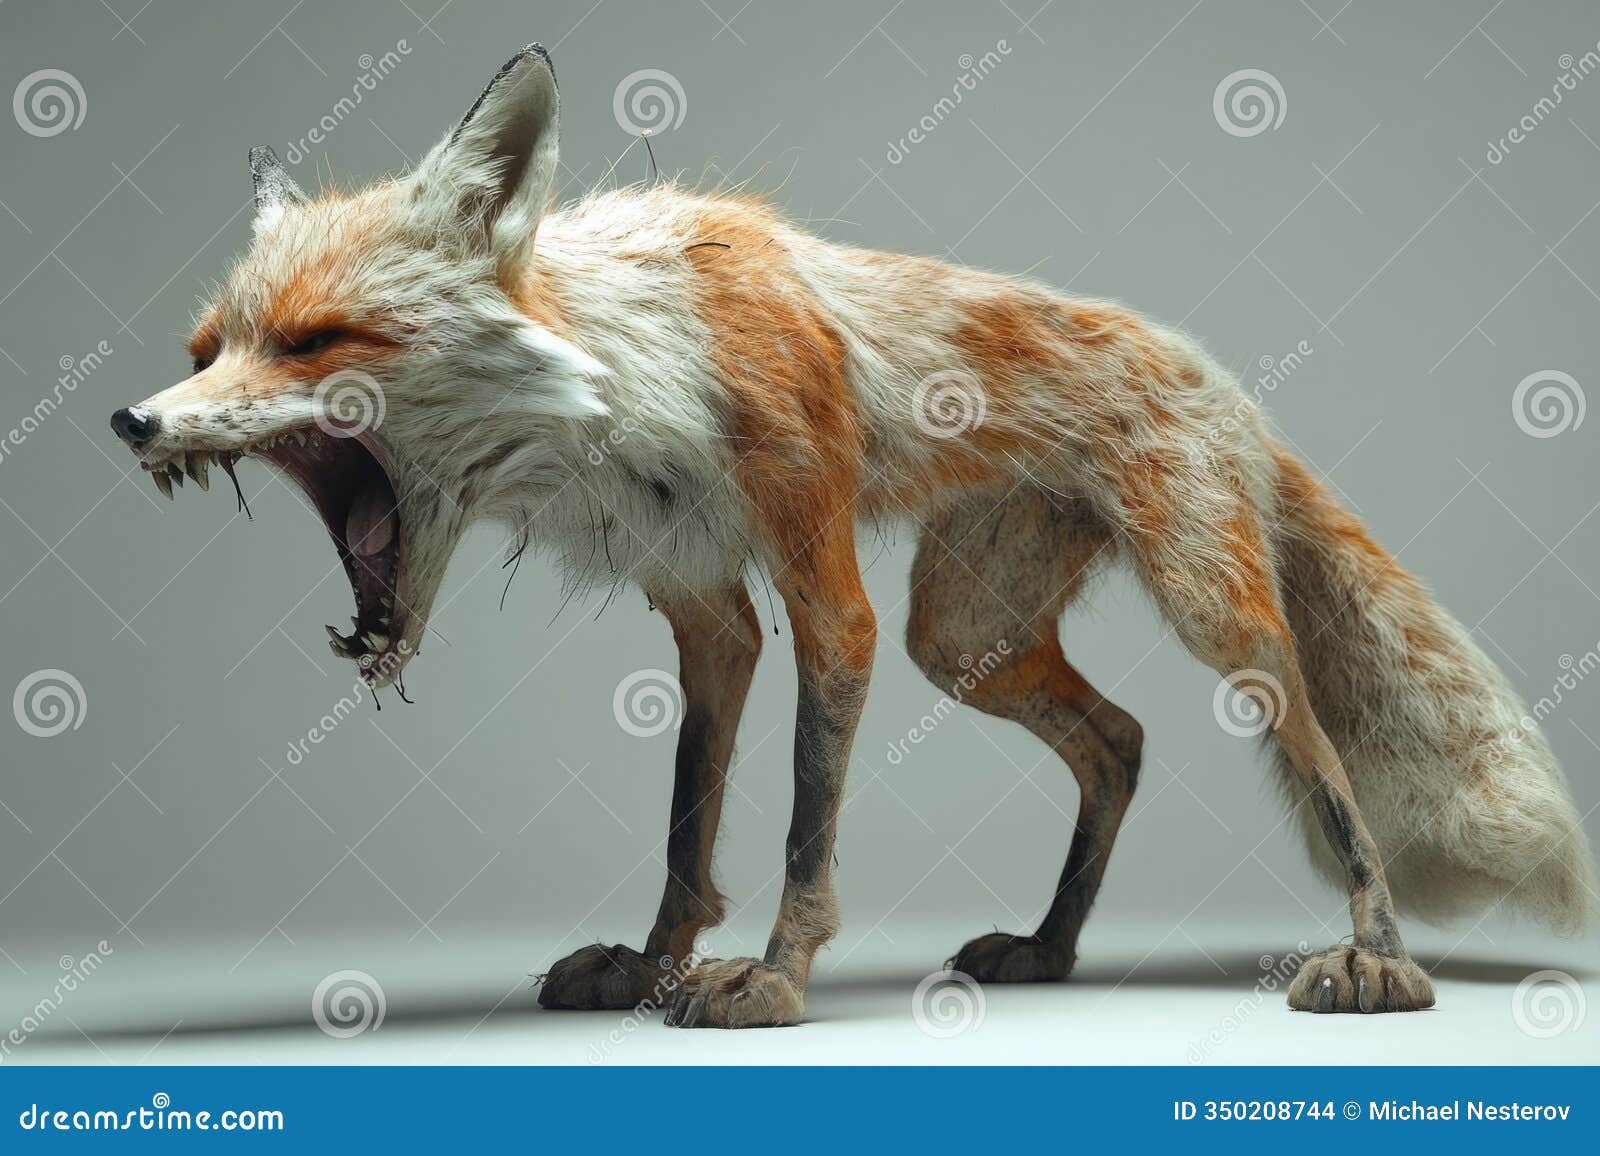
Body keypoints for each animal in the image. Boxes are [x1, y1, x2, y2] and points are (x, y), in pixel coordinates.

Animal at [108, 43, 1595, 1028]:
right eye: (208, 347)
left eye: (317, 341)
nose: (130, 420)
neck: (639, 364)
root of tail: (1216, 370)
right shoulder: (705, 605)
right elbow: (687, 826)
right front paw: (653, 964)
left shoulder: (827, 580)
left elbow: (800, 829)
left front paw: (774, 974)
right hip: (969, 633)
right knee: (1119, 739)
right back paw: (1053, 947)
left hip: (1205, 611)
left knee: (1324, 767)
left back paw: (1377, 960)